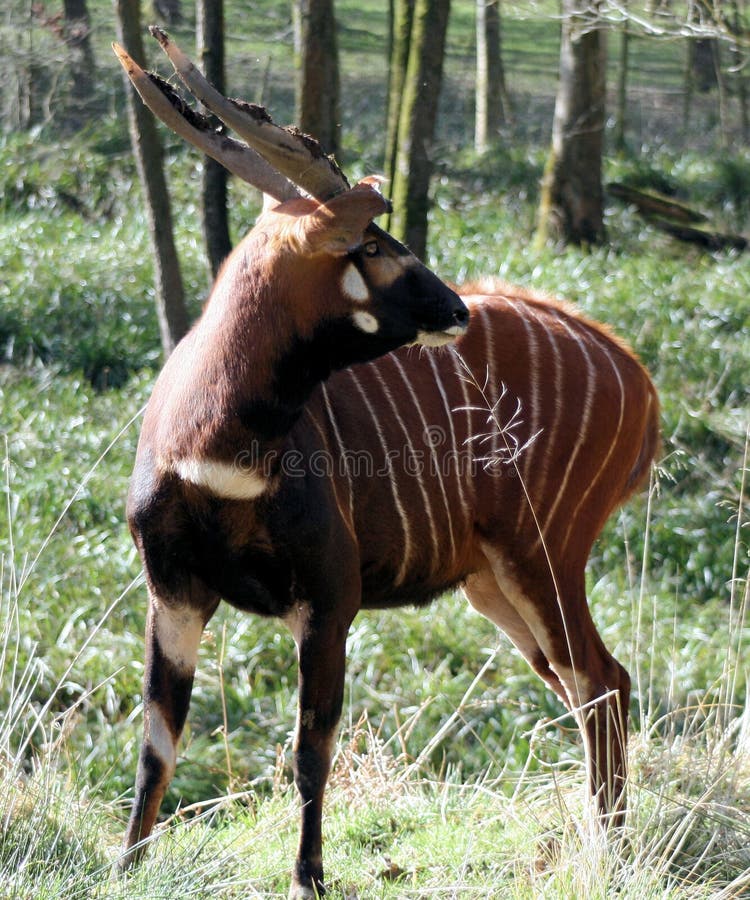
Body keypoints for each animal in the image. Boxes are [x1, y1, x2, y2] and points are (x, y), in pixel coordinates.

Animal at [114, 30, 659, 898]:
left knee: (602, 679)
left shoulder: (328, 601)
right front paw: (126, 865)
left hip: (544, 555)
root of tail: (637, 377)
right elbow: (156, 746)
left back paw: (607, 852)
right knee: (588, 682)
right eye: (369, 245)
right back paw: (603, 844)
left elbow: (310, 751)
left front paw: (308, 877)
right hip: (493, 582)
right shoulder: (174, 596)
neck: (214, 458)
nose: (453, 308)